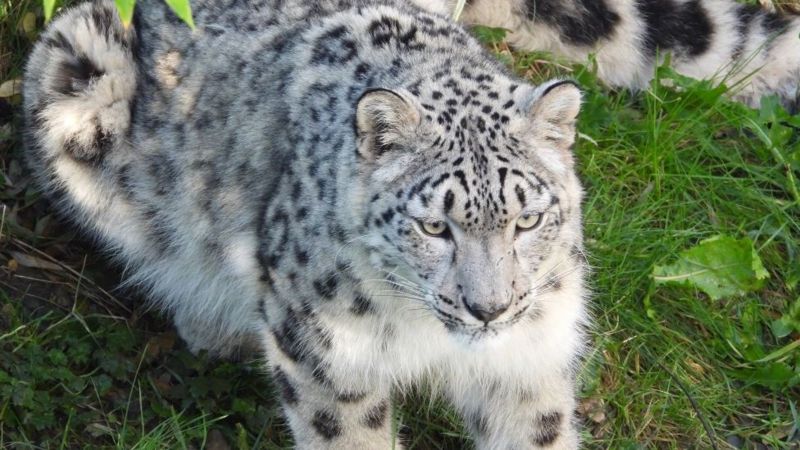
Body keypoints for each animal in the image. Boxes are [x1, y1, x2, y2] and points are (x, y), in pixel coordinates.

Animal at [23, 0, 588, 448]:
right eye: (434, 228)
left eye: (528, 220)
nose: (489, 310)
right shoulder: (331, 355)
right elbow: (347, 435)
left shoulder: (529, 358)